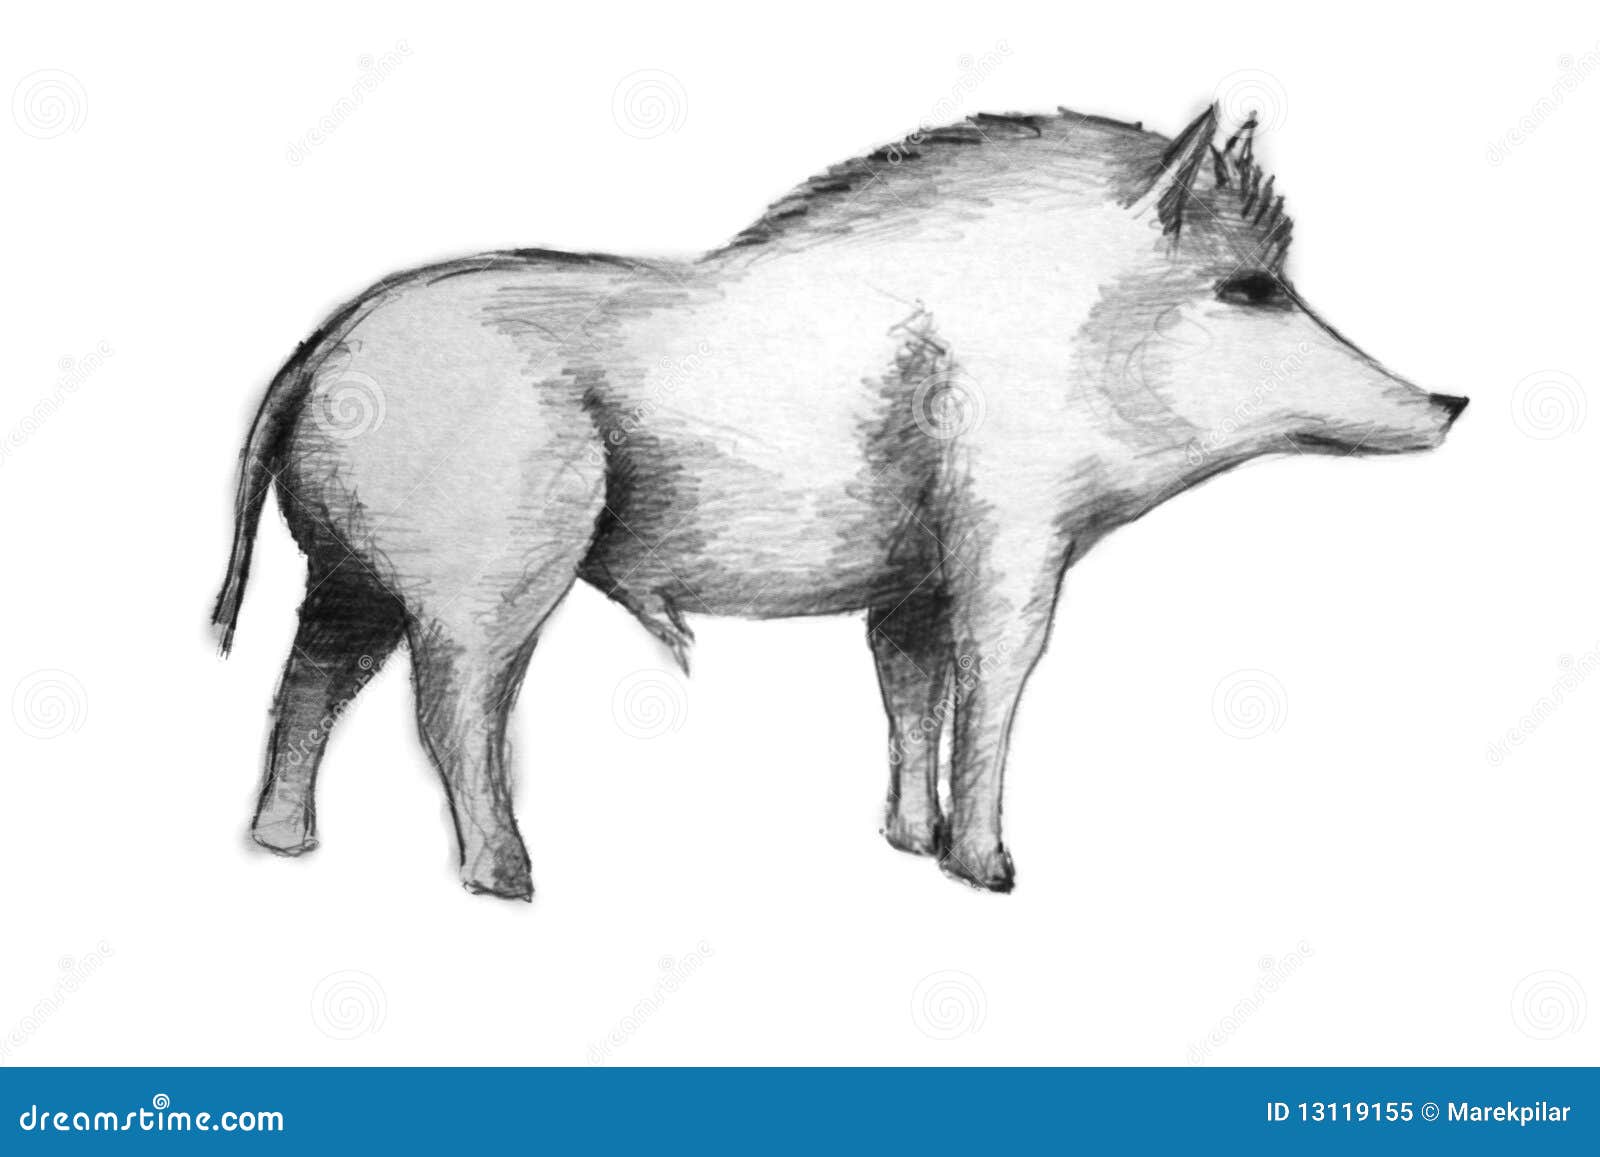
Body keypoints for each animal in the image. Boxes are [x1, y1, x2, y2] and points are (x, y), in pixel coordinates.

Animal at [213, 102, 1467, 900]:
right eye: (1249, 289)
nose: (1453, 399)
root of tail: (324, 345)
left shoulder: (907, 578)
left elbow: (909, 684)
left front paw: (909, 844)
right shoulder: (1011, 531)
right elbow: (998, 674)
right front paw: (991, 871)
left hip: (349, 568)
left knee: (306, 680)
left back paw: (283, 848)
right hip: (487, 574)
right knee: (449, 709)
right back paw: (510, 881)